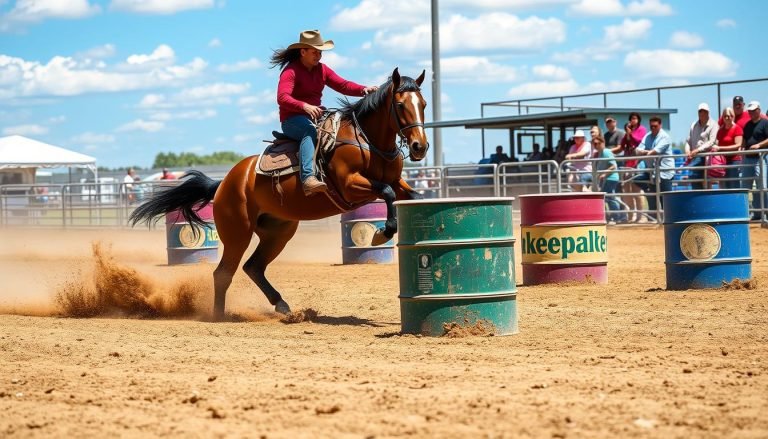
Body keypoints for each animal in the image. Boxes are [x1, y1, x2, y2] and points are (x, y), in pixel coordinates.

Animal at [129, 68, 429, 320]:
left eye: (423, 104)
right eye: (400, 105)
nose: (420, 147)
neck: (367, 141)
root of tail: (225, 182)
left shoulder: (396, 182)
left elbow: (410, 197)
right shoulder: (350, 186)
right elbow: (386, 192)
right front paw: (382, 233)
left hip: (278, 231)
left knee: (253, 267)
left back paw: (282, 305)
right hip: (237, 232)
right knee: (223, 273)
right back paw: (218, 316)